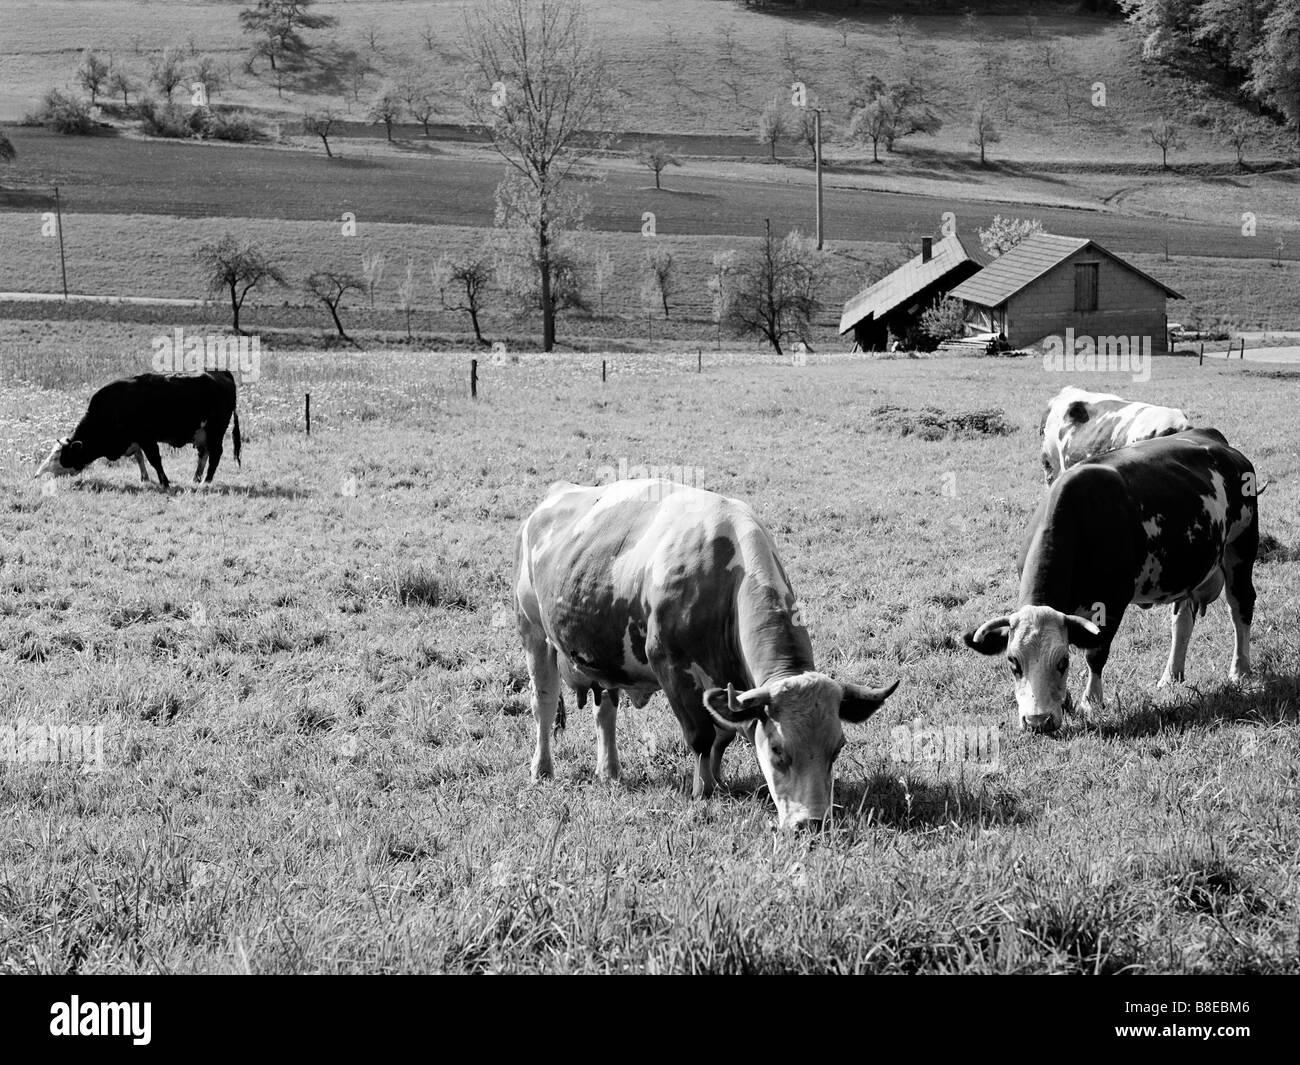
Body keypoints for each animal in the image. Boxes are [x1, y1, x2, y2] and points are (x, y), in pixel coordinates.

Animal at [35, 371, 241, 488]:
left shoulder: (147, 438)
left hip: (215, 432)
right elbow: (139, 457)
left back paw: (207, 480)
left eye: (58, 456)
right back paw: (196, 478)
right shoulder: (133, 440)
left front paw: (164, 482)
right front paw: (145, 478)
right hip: (202, 435)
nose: (37, 475)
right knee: (203, 454)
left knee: (215, 454)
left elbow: (154, 460)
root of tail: (221, 373)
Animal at [514, 478, 899, 830]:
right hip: (533, 633)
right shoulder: (674, 670)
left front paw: (719, 780)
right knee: (543, 705)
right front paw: (703, 789)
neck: (726, 580)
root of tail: (556, 494)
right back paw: (542, 770)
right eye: (778, 749)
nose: (813, 823)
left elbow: (724, 735)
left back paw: (609, 772)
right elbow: (700, 735)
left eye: (837, 748)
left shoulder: (731, 688)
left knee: (605, 712)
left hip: (606, 657)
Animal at [965, 429, 1258, 733]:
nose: (1038, 722)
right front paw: (1066, 701)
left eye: (1063, 662)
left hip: (1241, 547)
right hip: (1186, 573)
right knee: (1182, 621)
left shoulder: (1112, 603)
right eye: (1013, 662)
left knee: (1241, 607)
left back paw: (1240, 670)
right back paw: (1171, 676)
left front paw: (1090, 701)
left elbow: (1096, 653)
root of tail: (1212, 437)